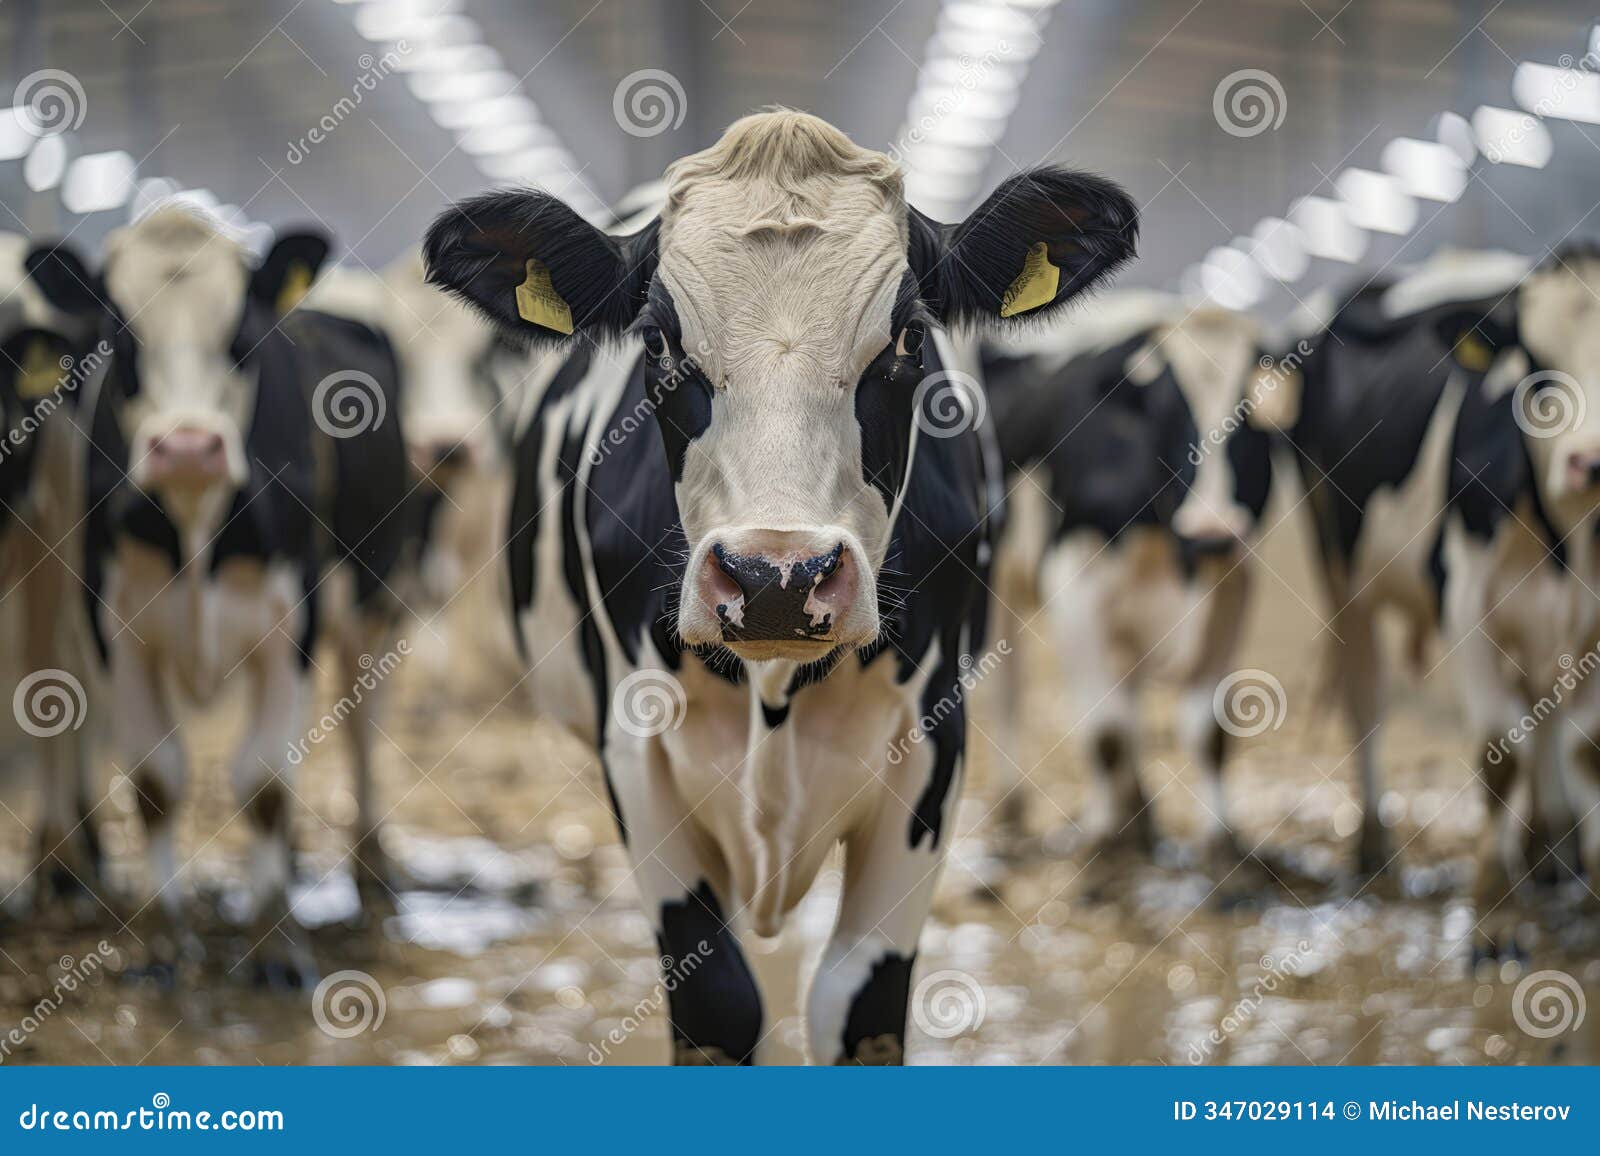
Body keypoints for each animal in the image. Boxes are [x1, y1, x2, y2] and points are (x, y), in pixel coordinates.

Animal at [24, 207, 411, 982]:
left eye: (241, 335)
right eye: (119, 333)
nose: (187, 446)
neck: (195, 513)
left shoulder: (293, 630)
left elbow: (264, 784)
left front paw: (277, 941)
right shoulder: (114, 633)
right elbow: (156, 783)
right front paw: (161, 938)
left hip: (372, 595)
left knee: (363, 723)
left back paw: (370, 865)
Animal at [422, 109, 1137, 1063]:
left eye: (909, 338)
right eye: (658, 340)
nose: (777, 576)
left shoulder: (933, 750)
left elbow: (855, 1002)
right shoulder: (636, 754)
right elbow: (719, 1002)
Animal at [982, 295, 1295, 868]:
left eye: (1252, 419)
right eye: (1170, 413)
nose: (1213, 529)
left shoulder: (1232, 587)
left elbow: (1207, 731)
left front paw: (1222, 839)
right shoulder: (1076, 589)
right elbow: (1105, 733)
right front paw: (1107, 839)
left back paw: (1140, 814)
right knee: (1010, 693)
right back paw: (1013, 804)